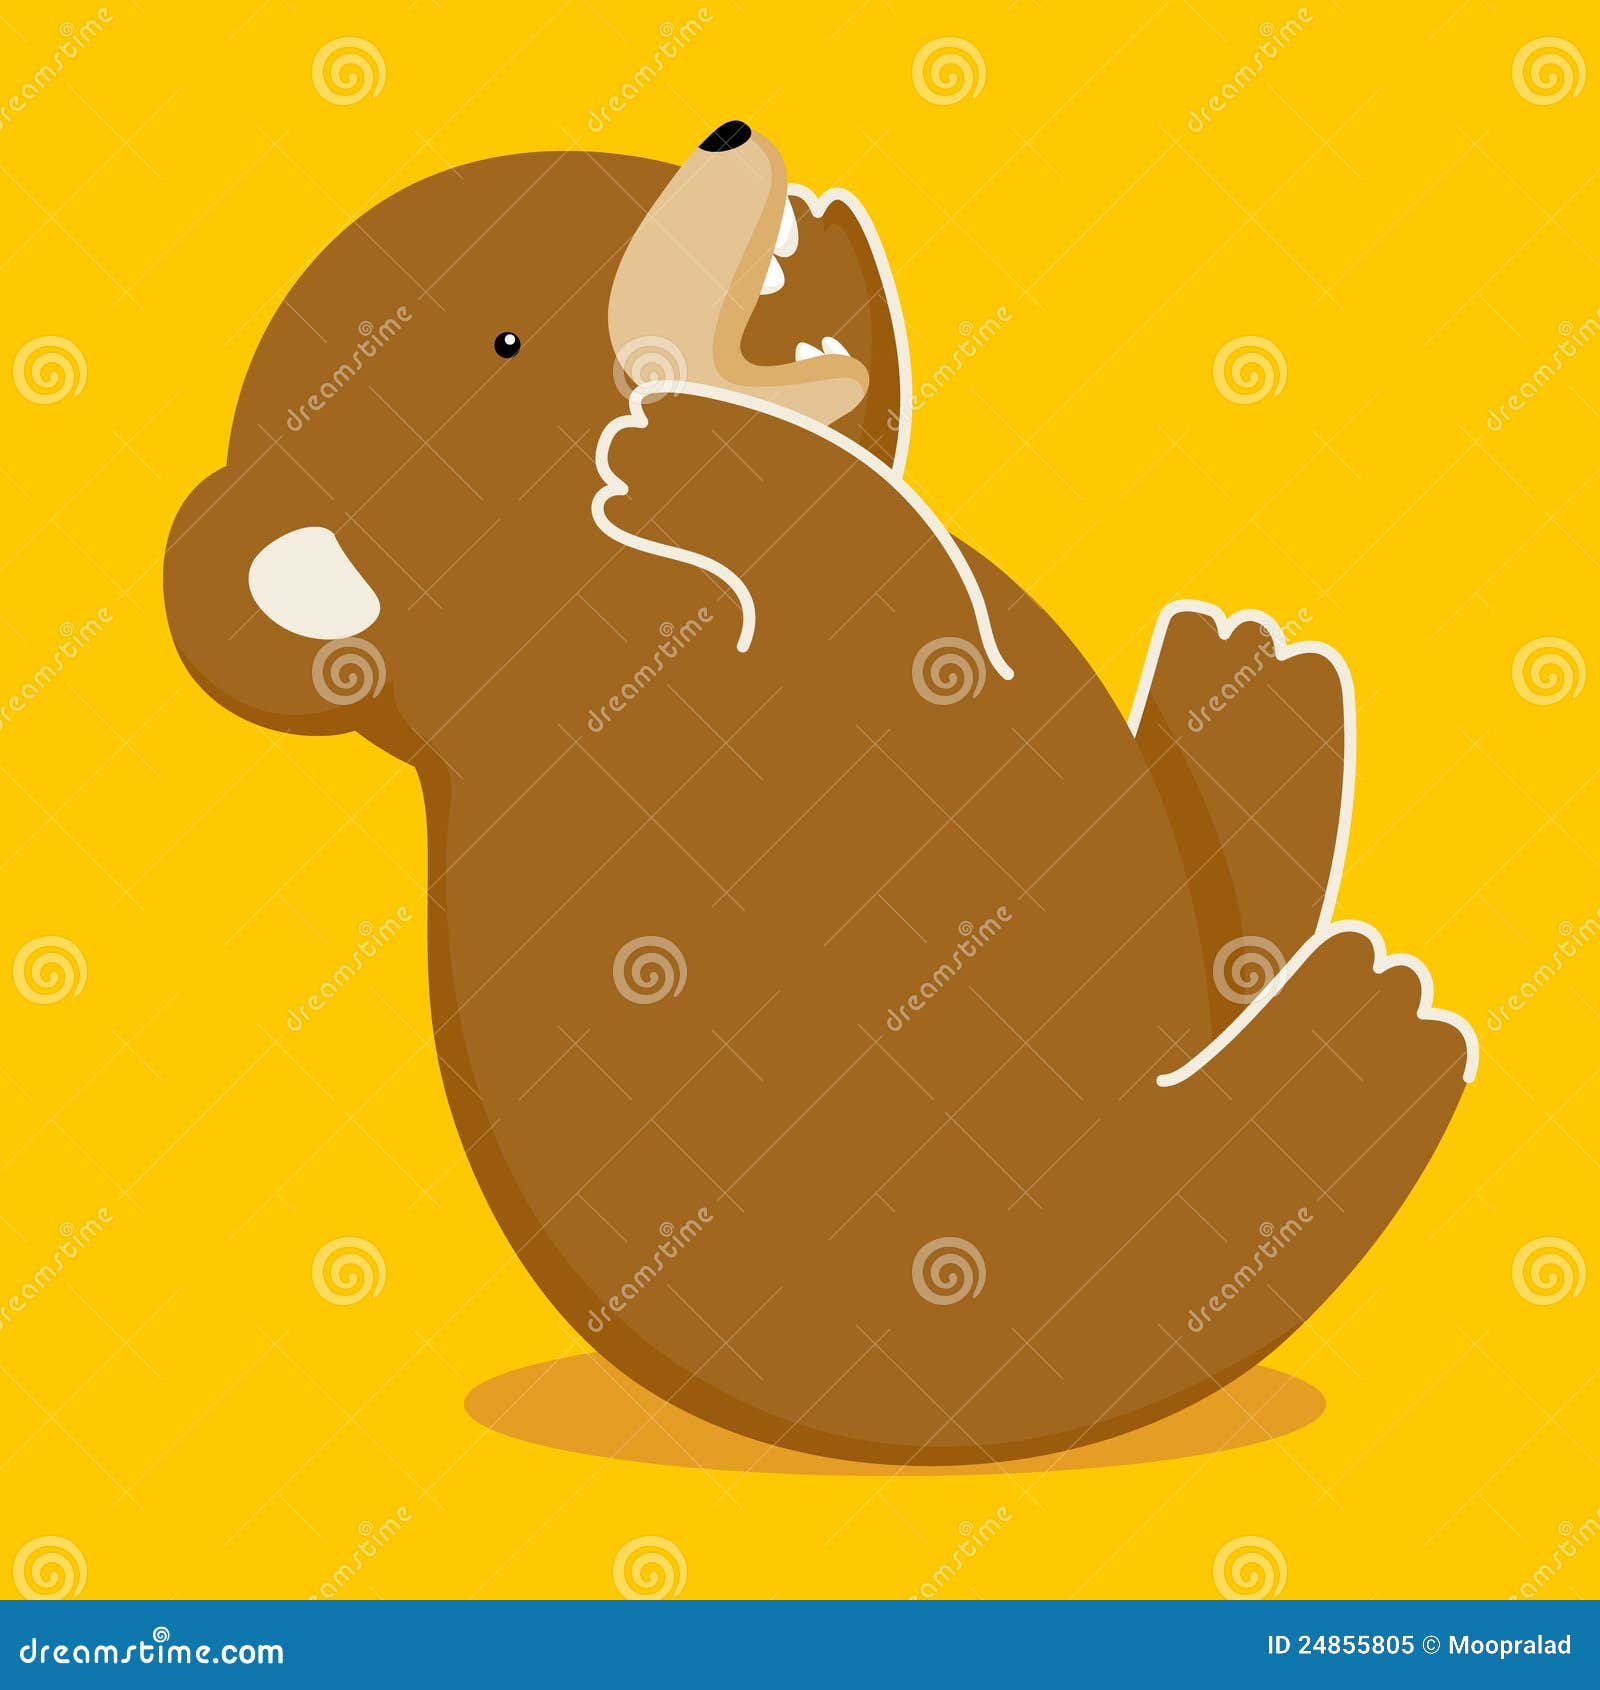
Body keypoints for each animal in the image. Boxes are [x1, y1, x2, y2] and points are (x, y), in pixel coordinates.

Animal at [164, 122, 1474, 1465]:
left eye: (618, 178)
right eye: (505, 341)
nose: (731, 132)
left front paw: (831, 262)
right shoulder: (748, 774)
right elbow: (896, 655)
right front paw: (691, 457)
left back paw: (1251, 689)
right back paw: (1370, 1017)